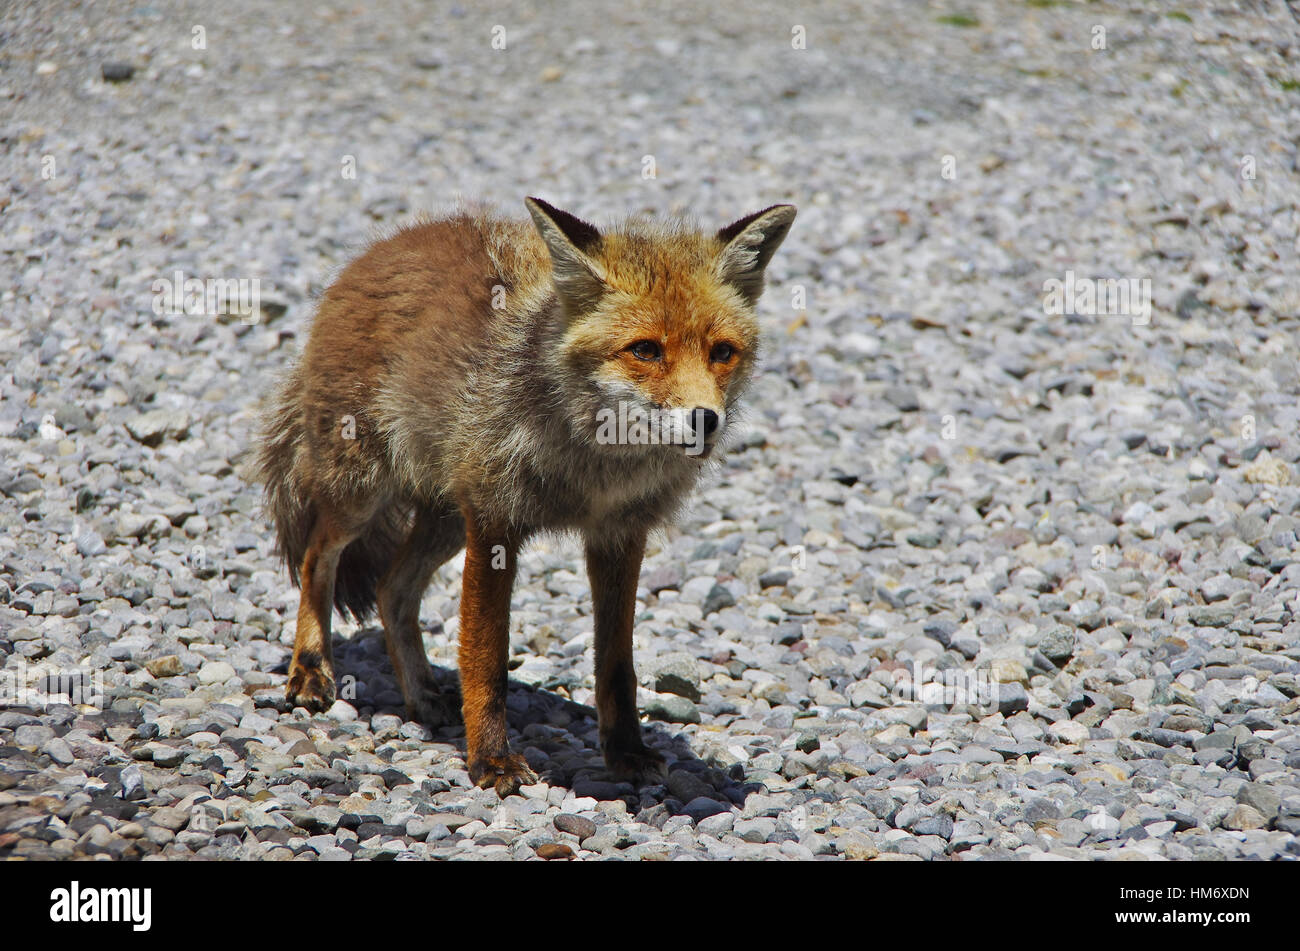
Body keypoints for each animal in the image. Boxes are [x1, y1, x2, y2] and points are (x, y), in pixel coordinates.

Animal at [255, 197, 796, 796]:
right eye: (646, 350)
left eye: (722, 352)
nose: (706, 420)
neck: (595, 469)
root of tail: (381, 247)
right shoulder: (495, 522)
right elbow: (487, 657)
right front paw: (491, 761)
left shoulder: (619, 534)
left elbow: (617, 664)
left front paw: (626, 751)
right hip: (361, 493)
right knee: (316, 560)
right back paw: (310, 669)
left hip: (446, 519)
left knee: (391, 589)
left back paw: (422, 696)